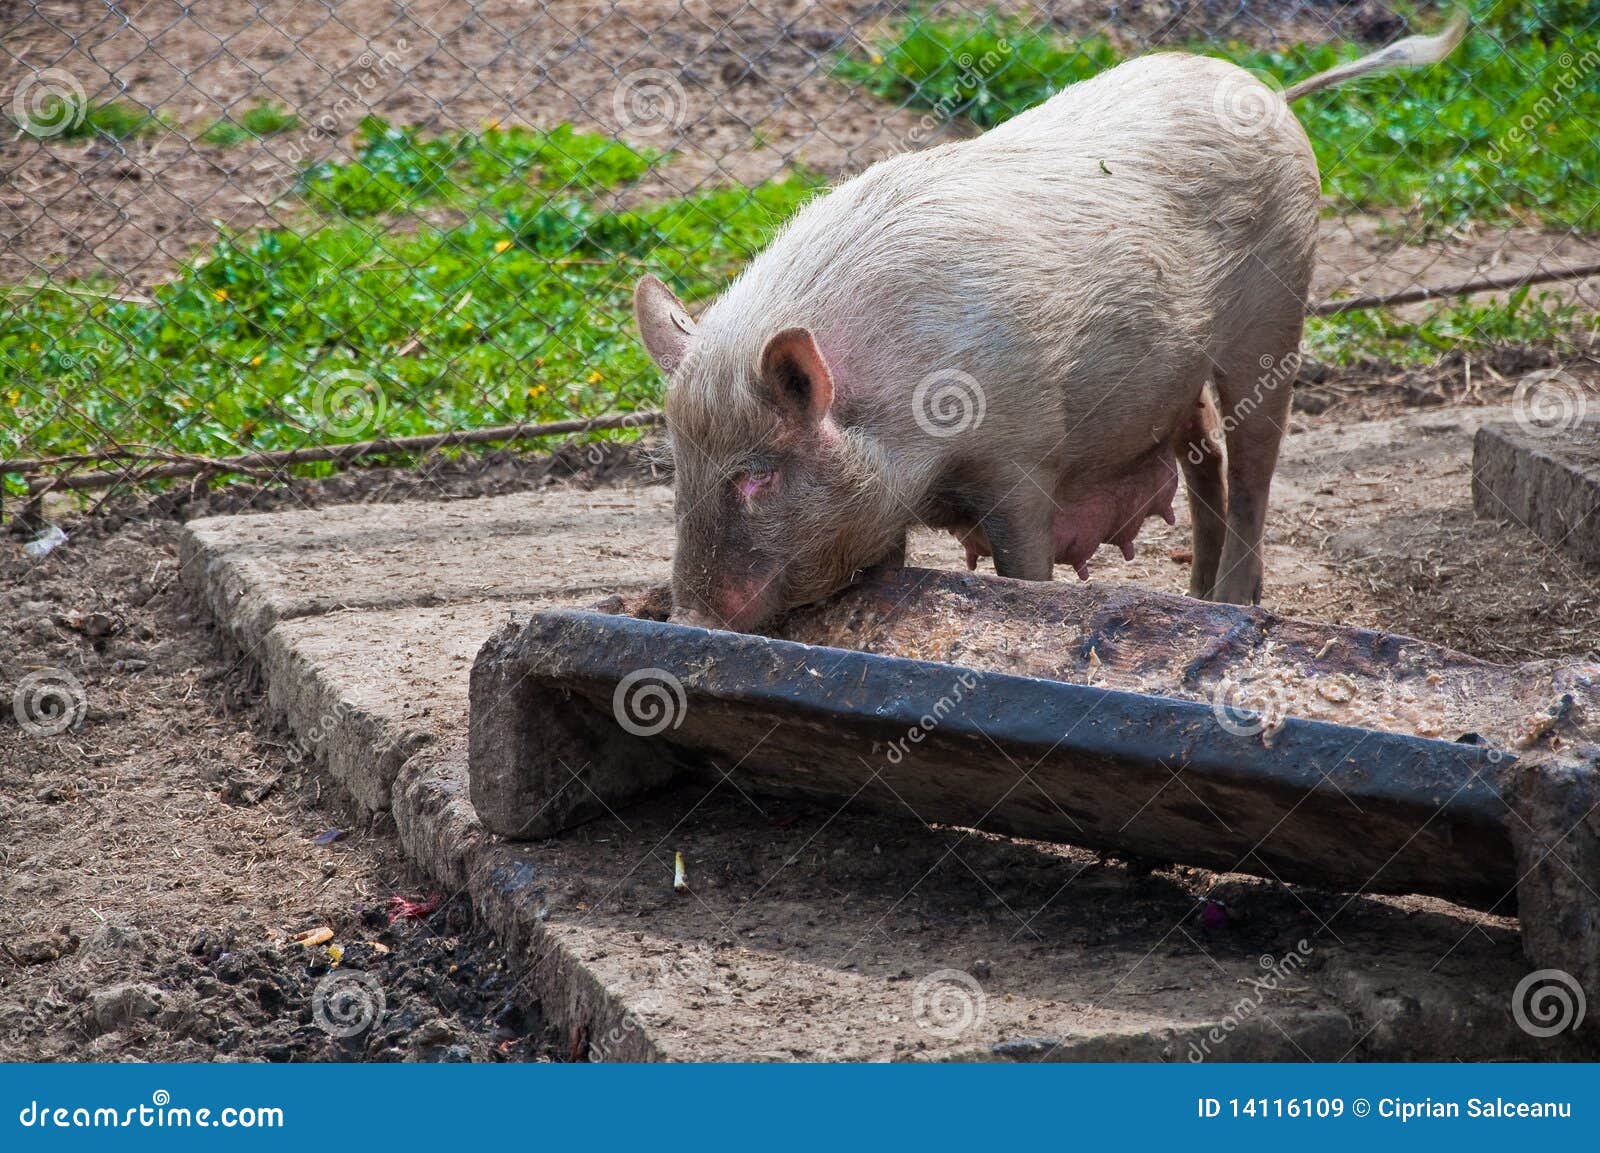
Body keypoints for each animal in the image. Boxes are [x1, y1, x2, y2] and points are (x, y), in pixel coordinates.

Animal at [635, 13, 1468, 631]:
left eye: (757, 476)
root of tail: (1267, 89)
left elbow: (1025, 564)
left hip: (1276, 317)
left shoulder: (1021, 452)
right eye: (680, 470)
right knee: (1205, 453)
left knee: (1256, 465)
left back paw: (1234, 601)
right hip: (1175, 369)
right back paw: (1195, 598)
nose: (689, 620)